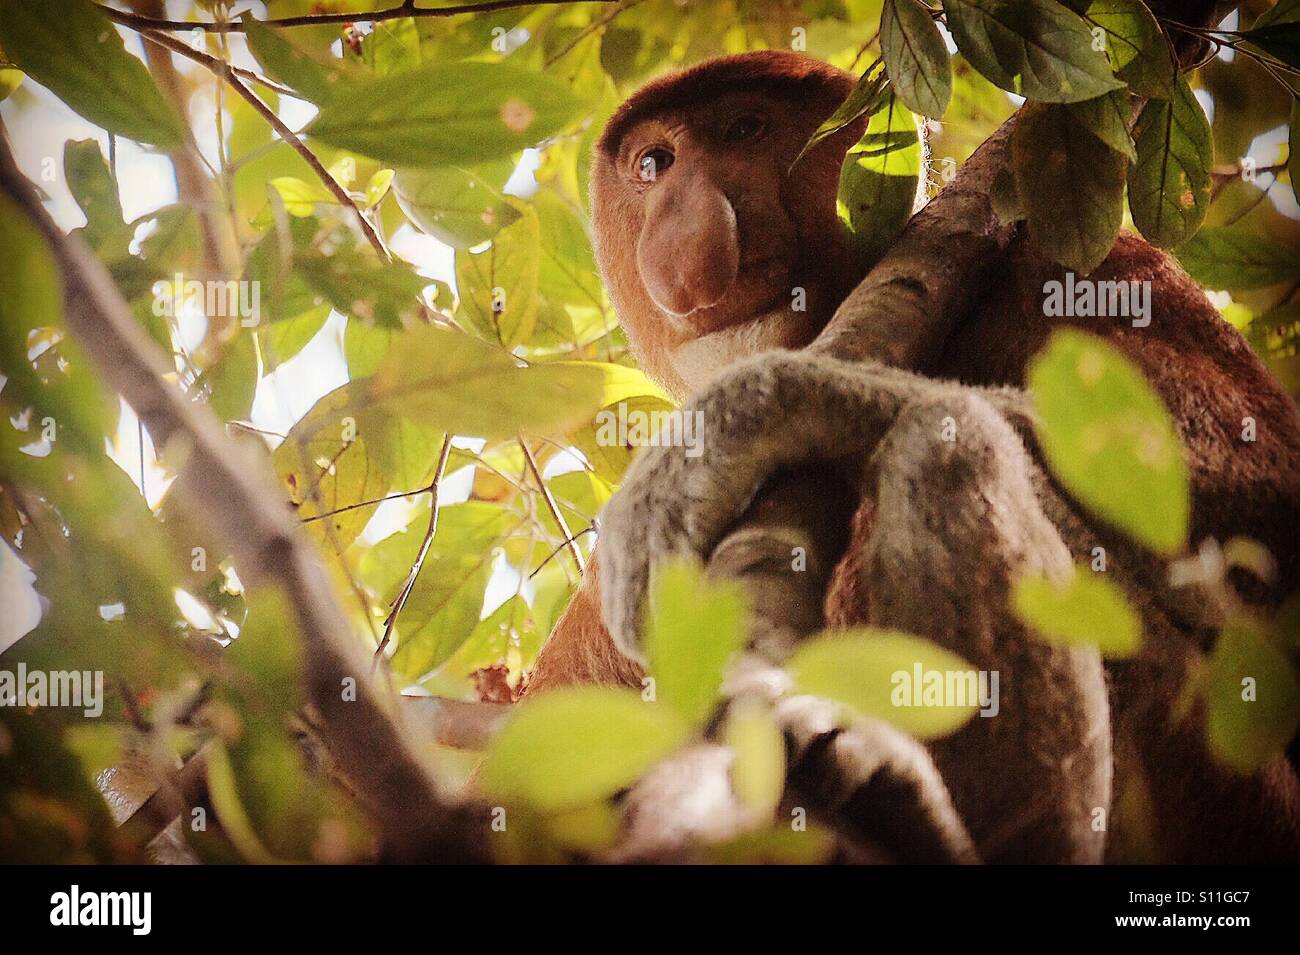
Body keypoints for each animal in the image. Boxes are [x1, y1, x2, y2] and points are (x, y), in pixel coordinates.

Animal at [523, 50, 1300, 863]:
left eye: (745, 129)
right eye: (654, 163)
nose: (689, 235)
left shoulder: (1077, 263)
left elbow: (1255, 487)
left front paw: (706, 443)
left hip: (1217, 767)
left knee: (950, 437)